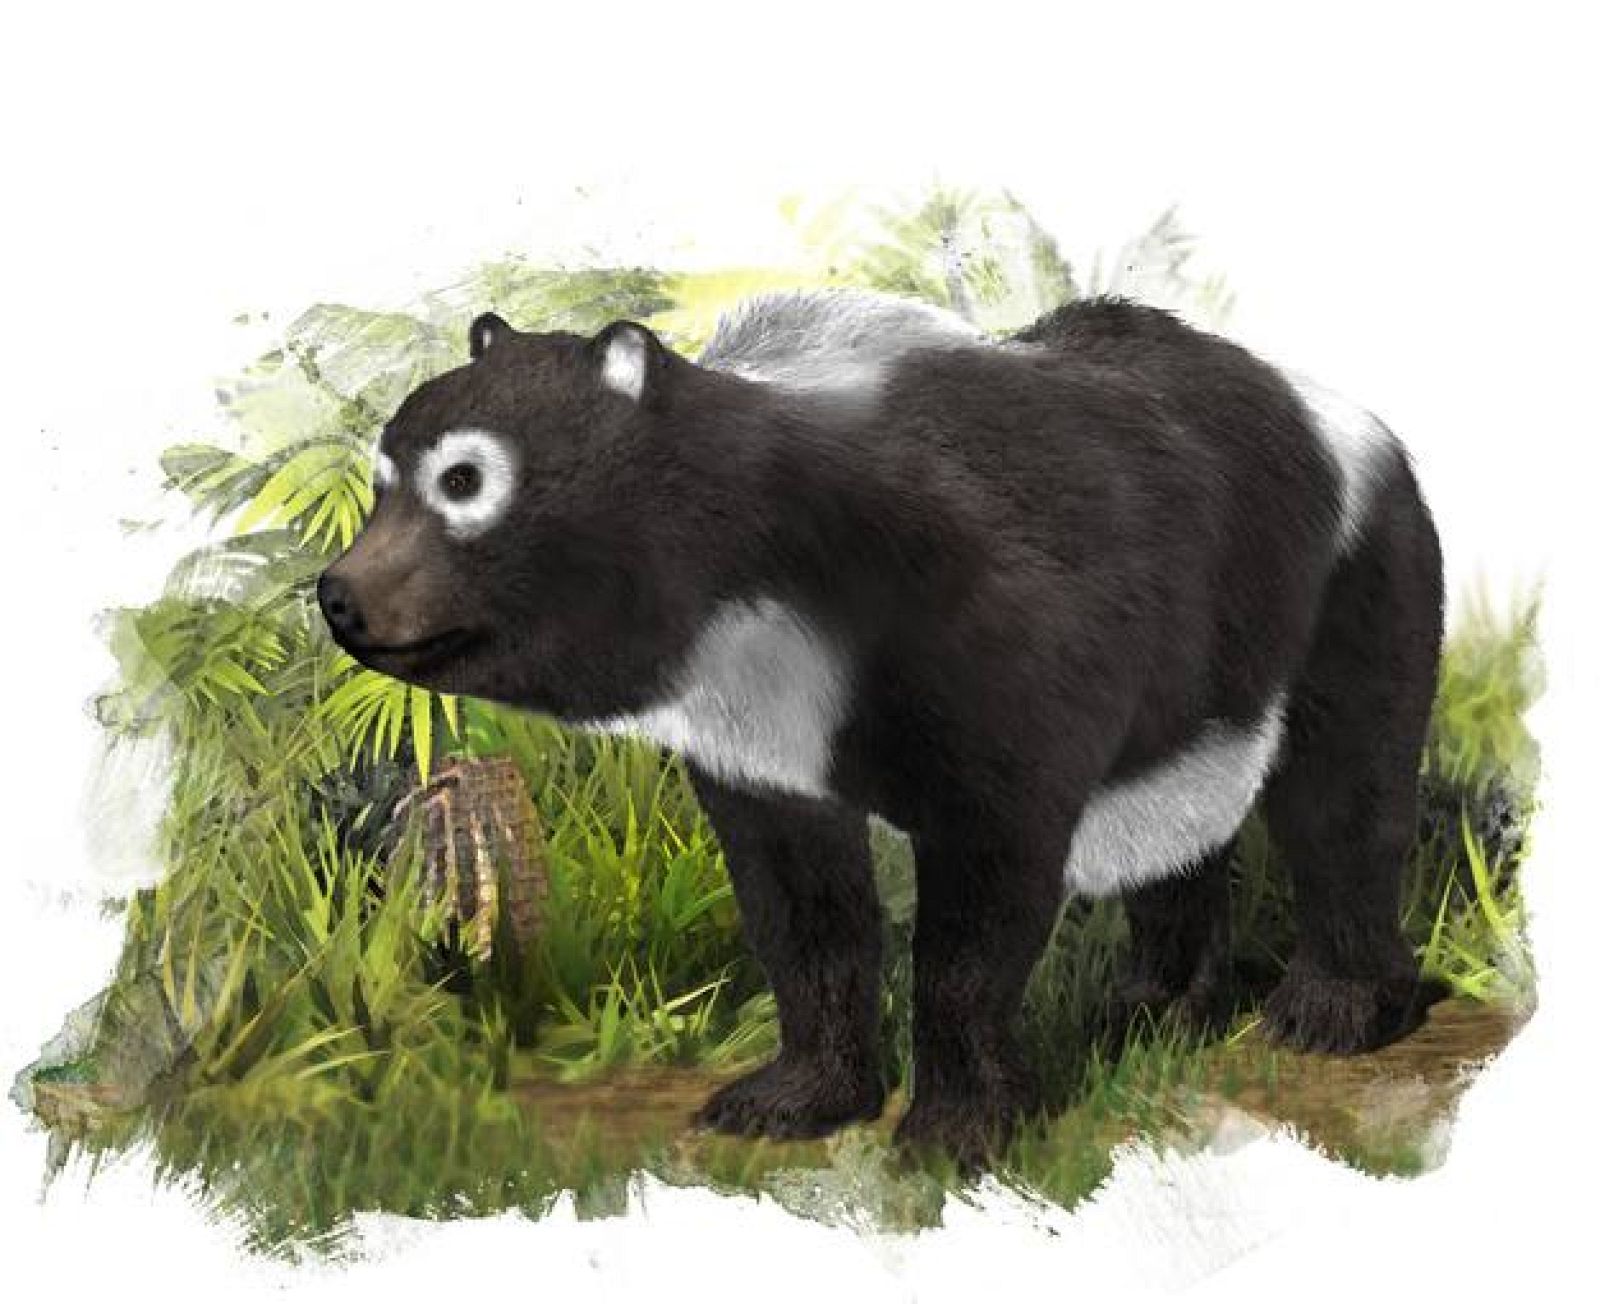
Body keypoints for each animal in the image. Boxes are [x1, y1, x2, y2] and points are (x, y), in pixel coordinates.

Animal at [318, 285, 1444, 1165]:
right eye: (381, 481)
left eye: (466, 480)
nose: (339, 596)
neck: (770, 561)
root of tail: (1348, 415)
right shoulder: (763, 717)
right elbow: (799, 901)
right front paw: (789, 1095)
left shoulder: (993, 634)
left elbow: (985, 883)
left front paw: (959, 1126)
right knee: (1178, 822)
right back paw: (1156, 1002)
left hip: (1351, 573)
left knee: (1342, 794)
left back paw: (1333, 1010)